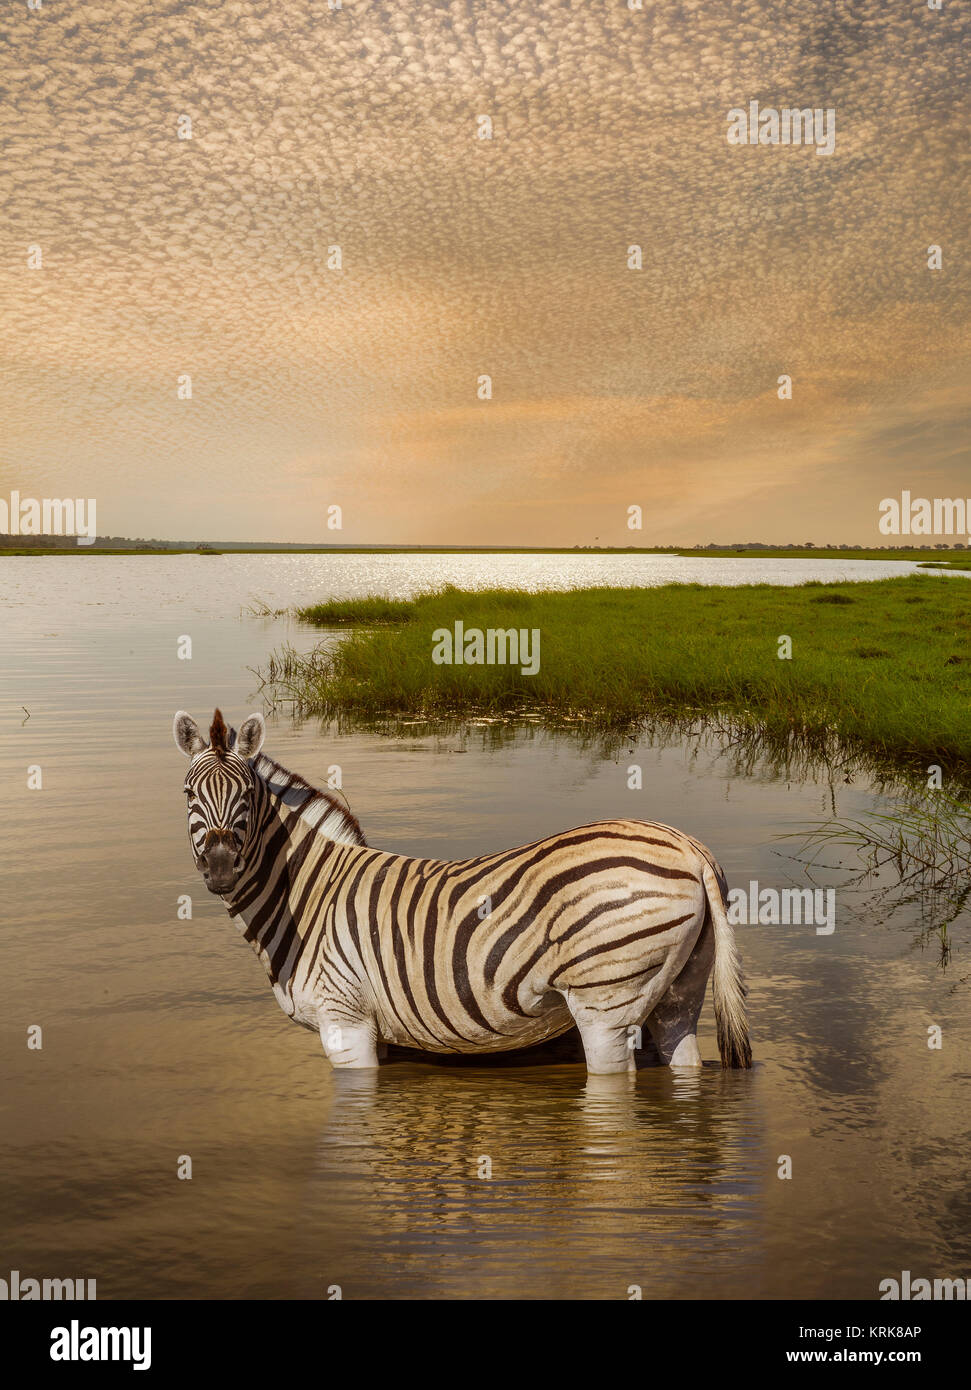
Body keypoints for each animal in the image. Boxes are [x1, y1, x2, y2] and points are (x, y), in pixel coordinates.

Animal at [173, 709, 752, 1075]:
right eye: (188, 793)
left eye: (247, 795)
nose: (220, 870)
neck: (311, 899)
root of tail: (687, 847)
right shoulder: (378, 1033)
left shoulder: (345, 1023)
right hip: (678, 991)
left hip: (605, 1000)